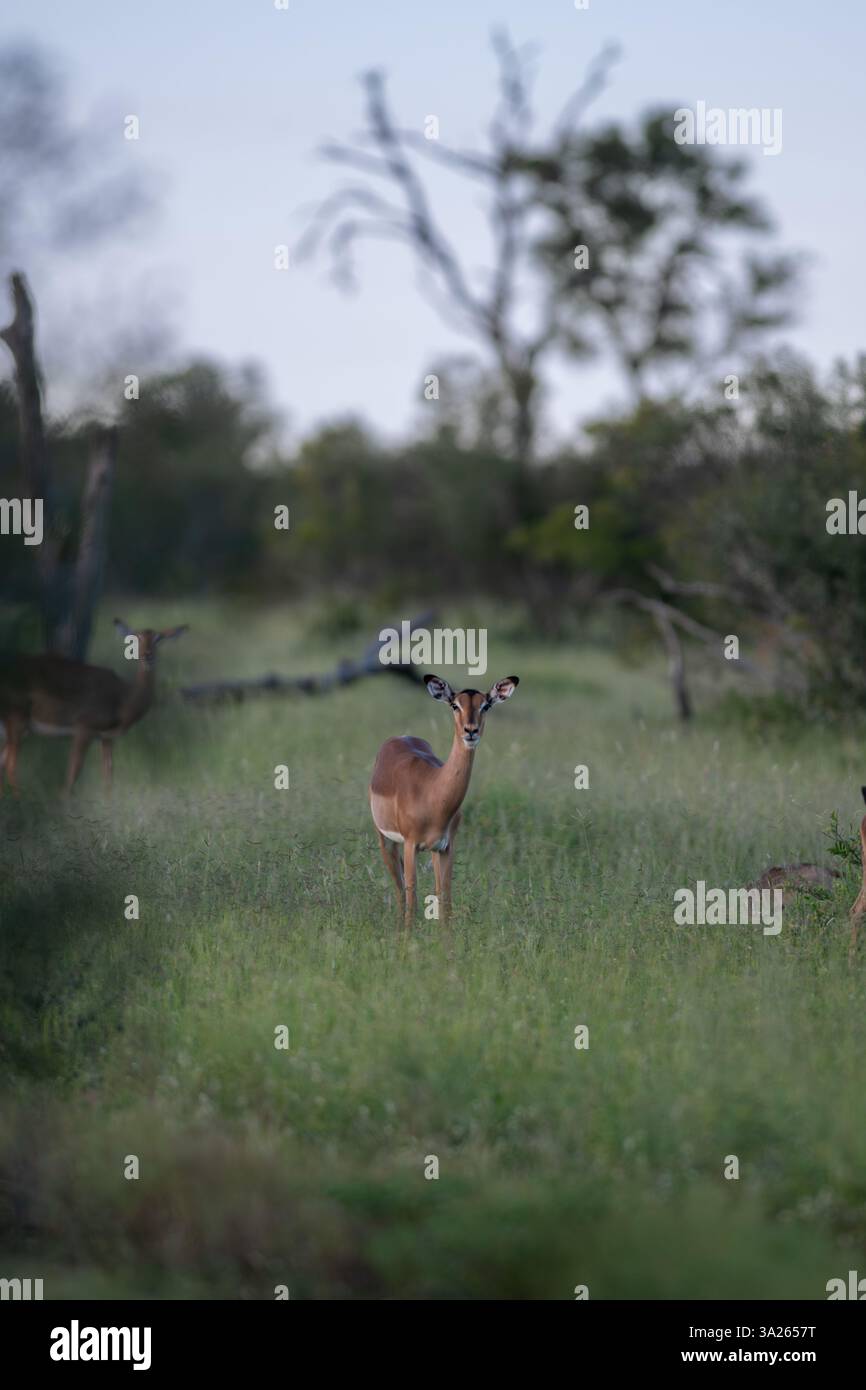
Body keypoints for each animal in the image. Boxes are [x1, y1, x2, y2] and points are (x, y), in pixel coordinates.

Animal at [0, 619, 188, 796]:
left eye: (158, 638)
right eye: (136, 637)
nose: (147, 656)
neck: (123, 698)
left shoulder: (107, 738)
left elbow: (108, 775)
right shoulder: (84, 728)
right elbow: (73, 771)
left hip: (21, 729)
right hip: (17, 721)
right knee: (10, 765)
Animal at [369, 673, 519, 926]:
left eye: (485, 705)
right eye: (454, 705)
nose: (471, 730)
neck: (433, 791)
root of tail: (400, 737)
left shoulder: (445, 847)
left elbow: (445, 903)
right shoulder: (410, 845)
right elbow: (412, 903)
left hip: (429, 851)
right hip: (387, 842)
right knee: (400, 894)